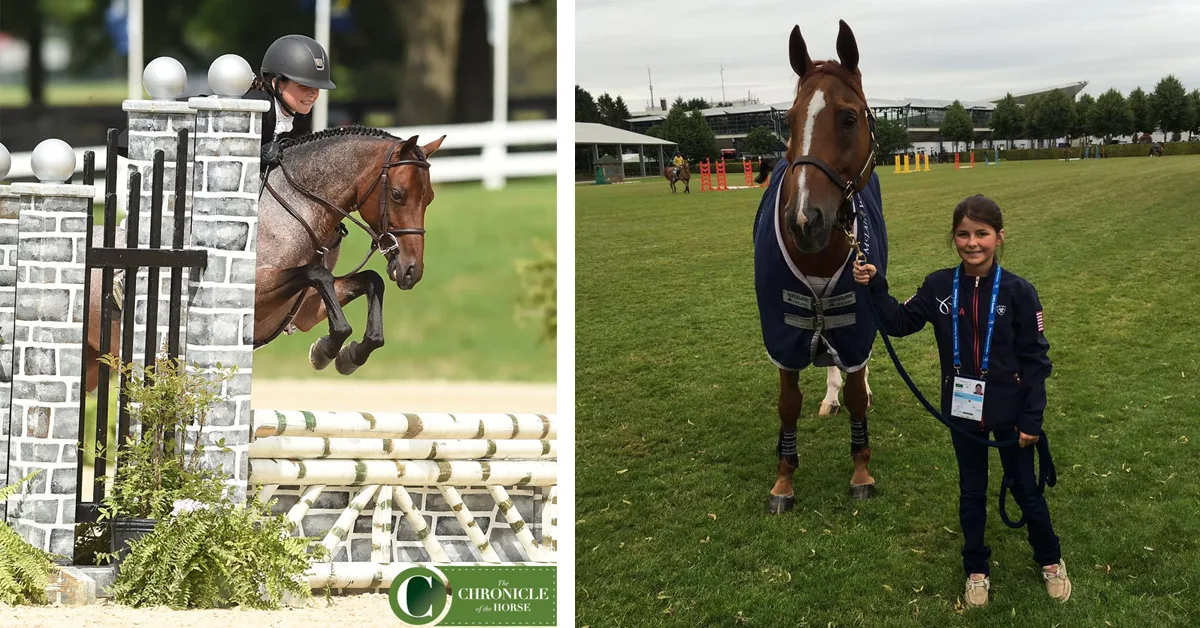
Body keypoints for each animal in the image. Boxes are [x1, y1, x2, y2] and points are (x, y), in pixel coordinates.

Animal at [84, 126, 445, 392]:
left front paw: (347, 355)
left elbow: (370, 280)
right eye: (397, 195)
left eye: (429, 198)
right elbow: (319, 274)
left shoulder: (306, 308)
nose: (411, 271)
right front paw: (328, 350)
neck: (301, 207)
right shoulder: (253, 289)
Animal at [751, 20, 884, 514]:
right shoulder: (783, 329)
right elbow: (788, 403)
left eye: (848, 118)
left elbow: (858, 393)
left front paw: (861, 471)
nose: (805, 219)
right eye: (789, 120)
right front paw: (783, 479)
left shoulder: (857, 318)